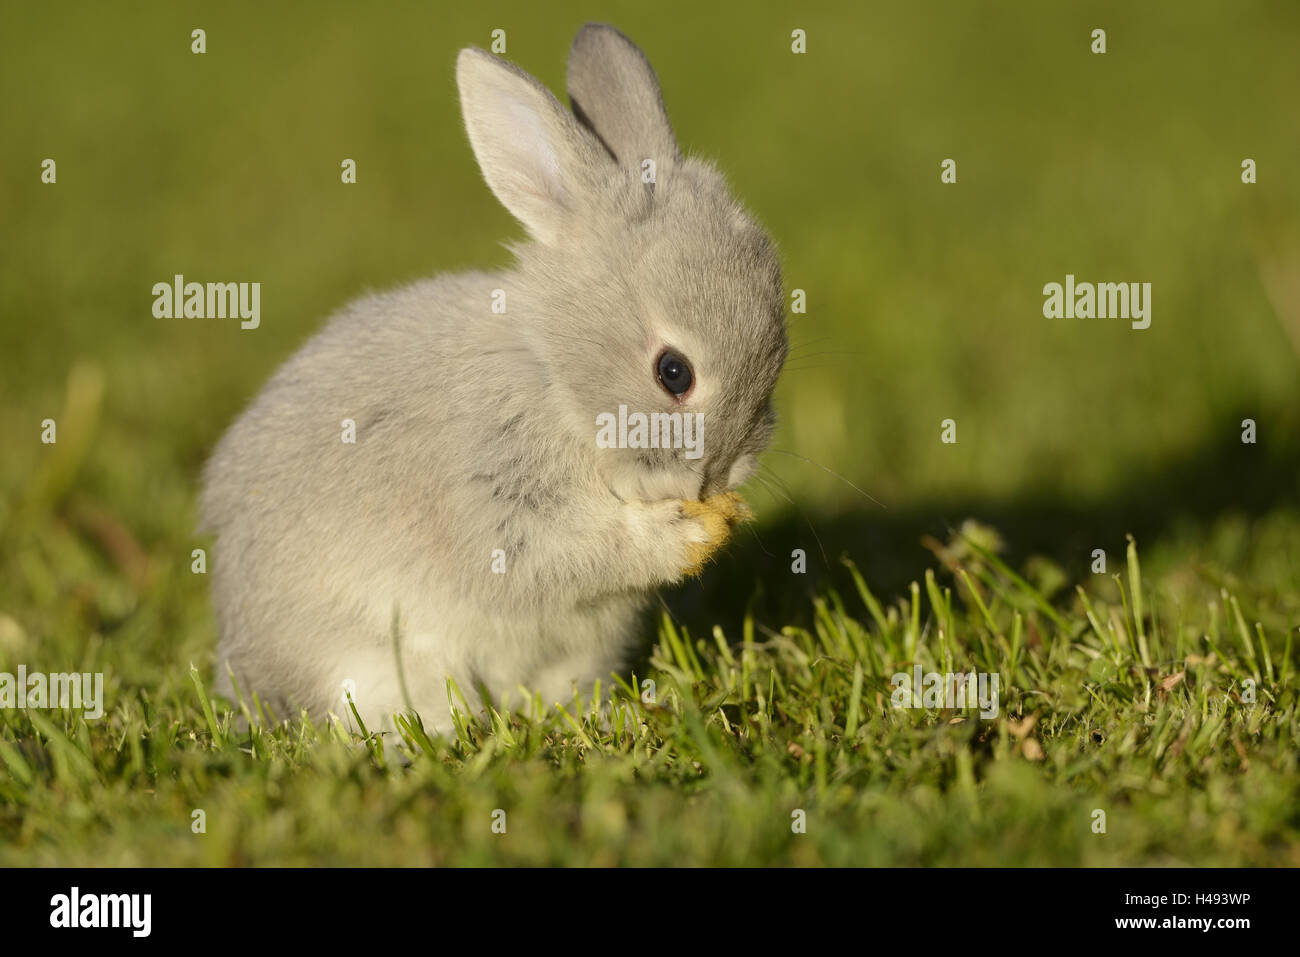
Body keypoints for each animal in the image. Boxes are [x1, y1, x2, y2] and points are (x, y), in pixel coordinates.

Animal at [198, 23, 788, 736]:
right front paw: (687, 535)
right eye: (673, 373)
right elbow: (558, 558)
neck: (554, 377)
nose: (716, 480)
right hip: (368, 657)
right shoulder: (493, 491)